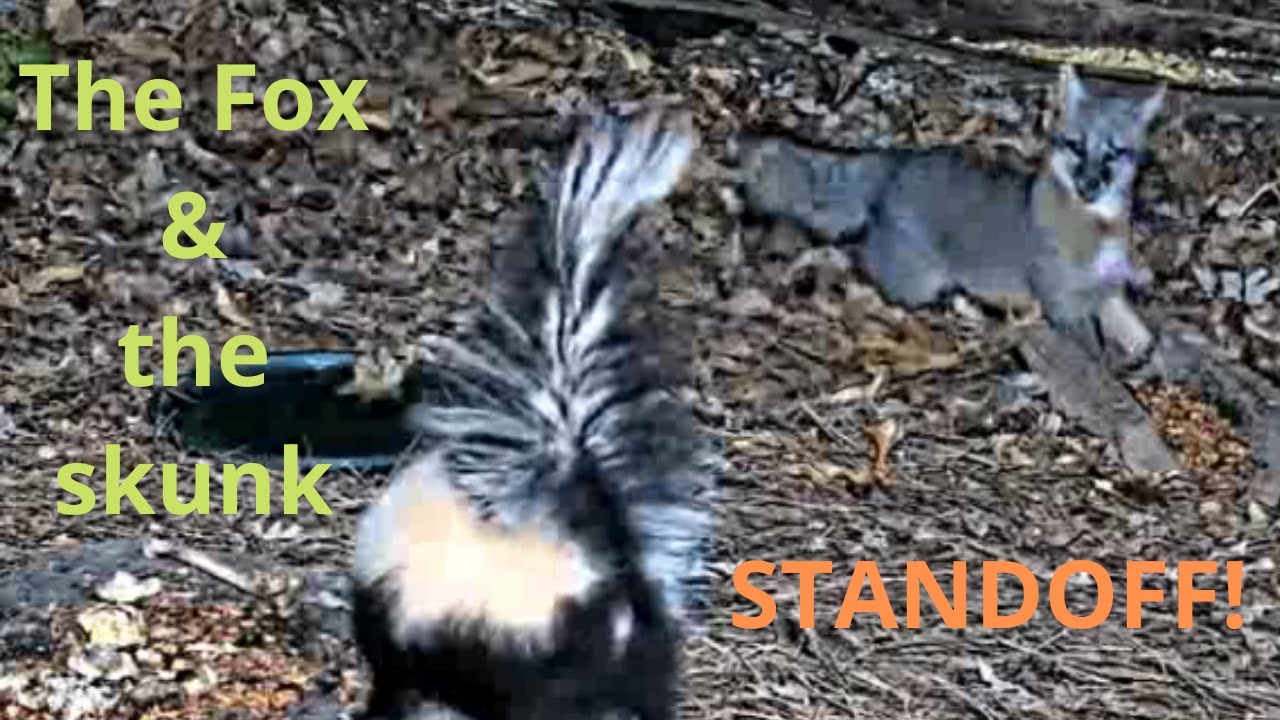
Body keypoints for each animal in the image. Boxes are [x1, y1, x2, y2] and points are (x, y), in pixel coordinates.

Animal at [730, 64, 1167, 356]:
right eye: (1076, 147)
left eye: (1113, 154)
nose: (1089, 186)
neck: (1097, 226)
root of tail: (898, 160)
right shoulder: (1062, 302)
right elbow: (1094, 334)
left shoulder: (1107, 286)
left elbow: (1129, 320)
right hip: (919, 282)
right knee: (860, 260)